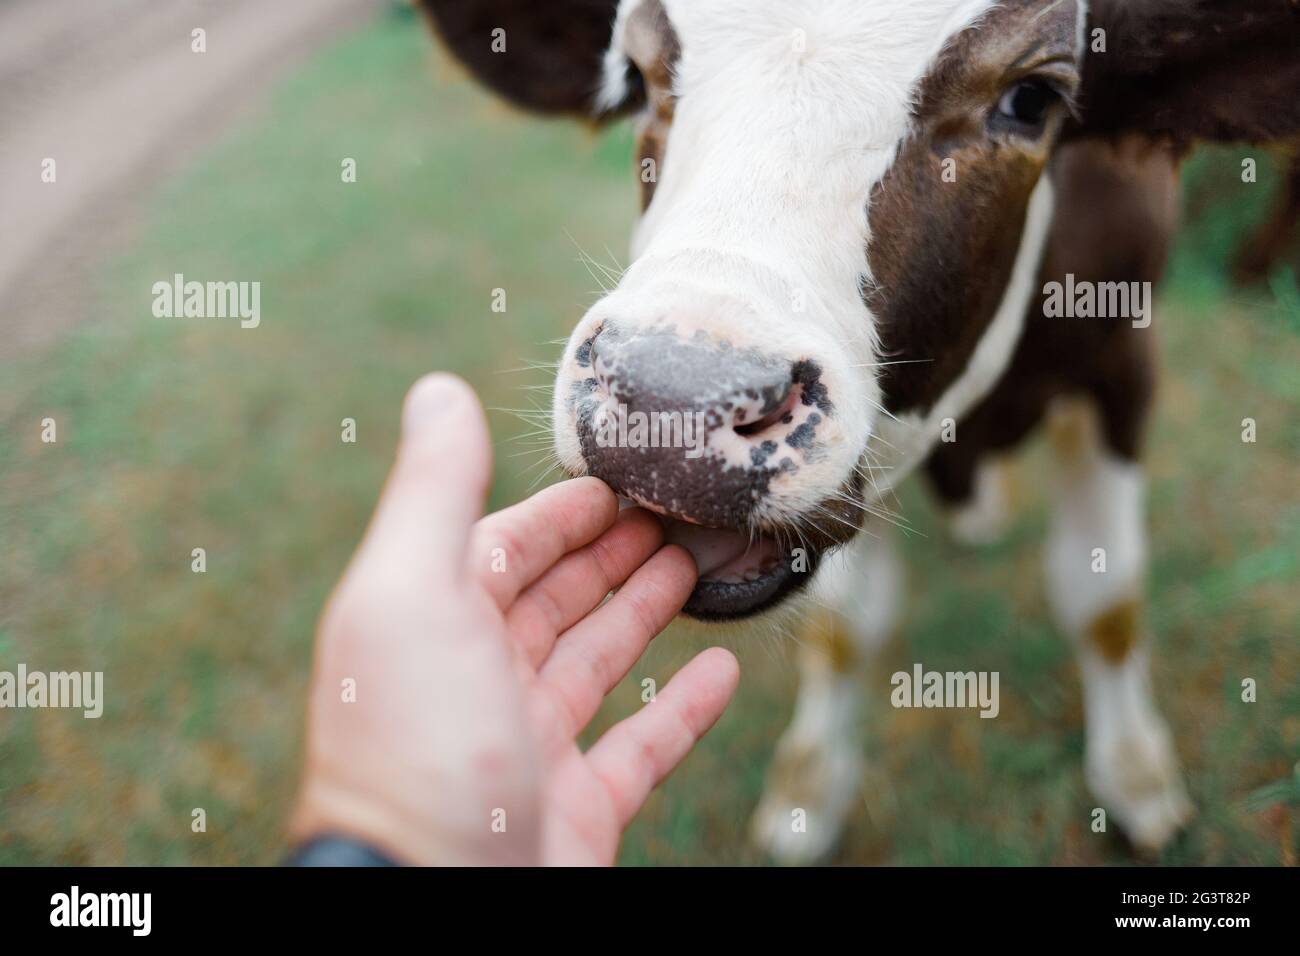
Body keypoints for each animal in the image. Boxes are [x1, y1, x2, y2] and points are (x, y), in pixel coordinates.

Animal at [419, 0, 1300, 862]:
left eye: (1031, 99)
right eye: (636, 76)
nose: (673, 402)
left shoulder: (1122, 364)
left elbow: (1106, 596)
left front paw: (1135, 773)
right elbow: (847, 626)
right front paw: (811, 787)